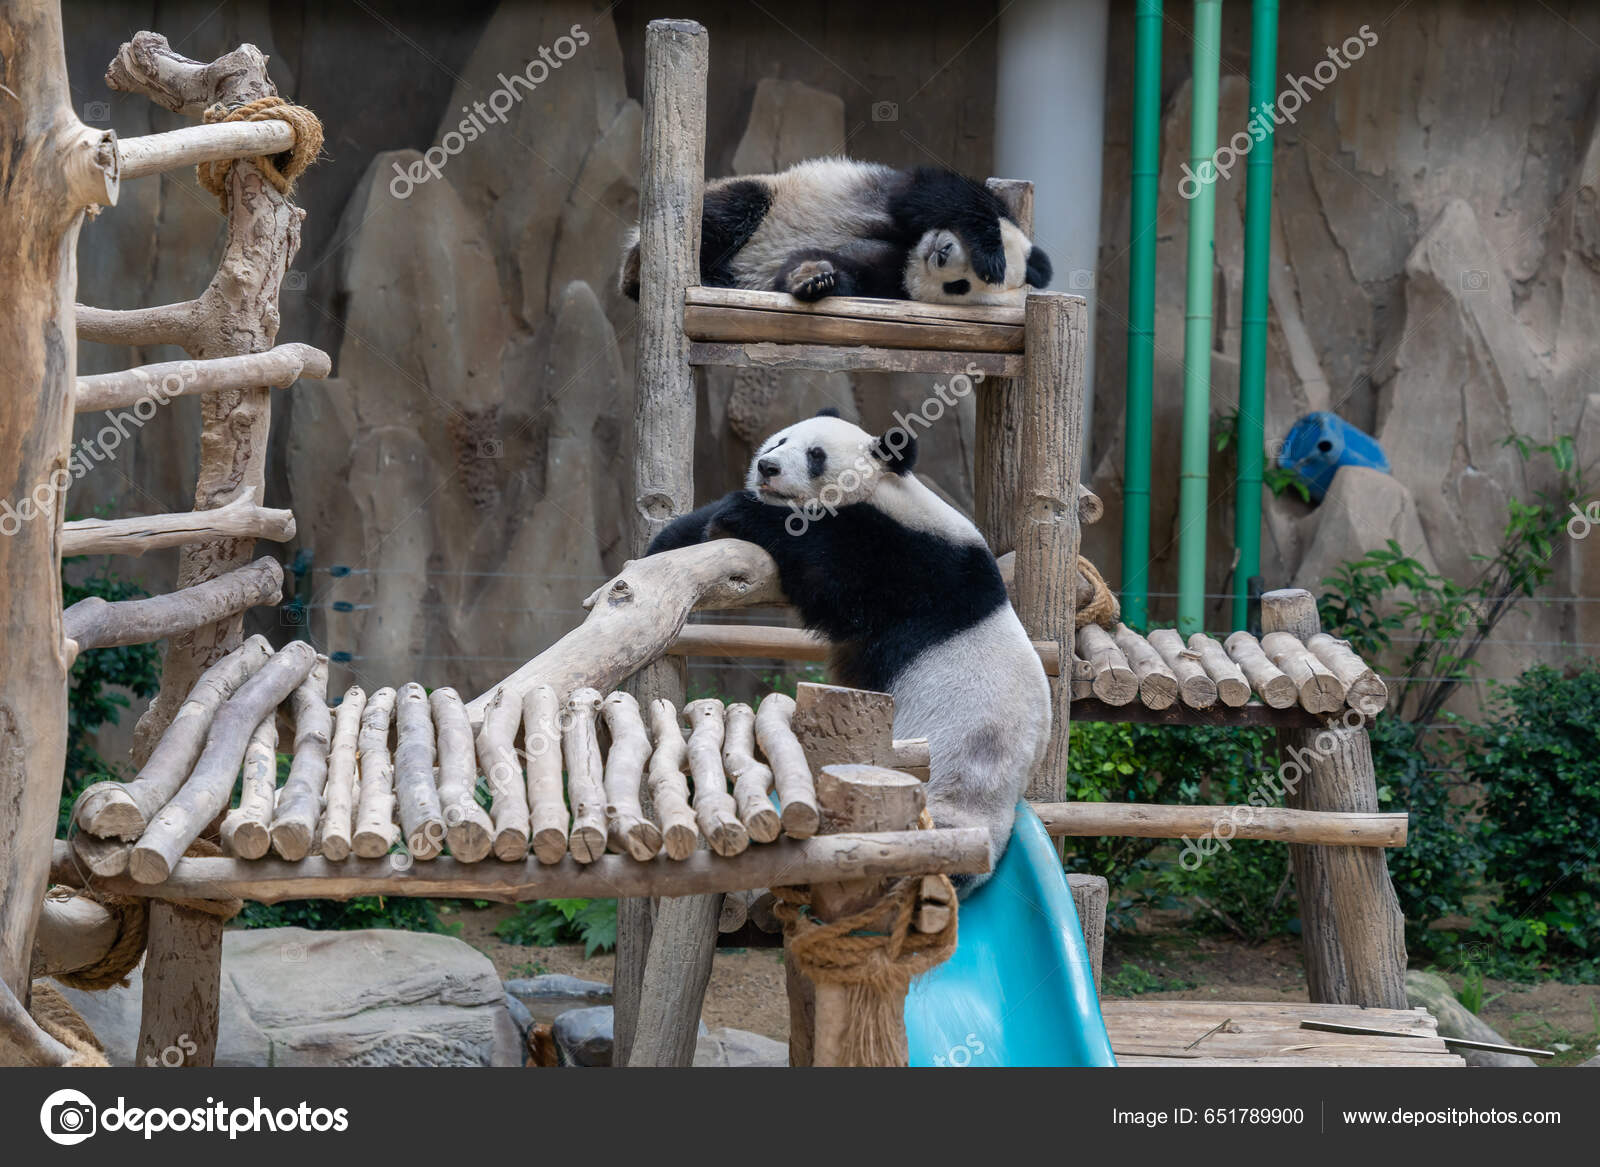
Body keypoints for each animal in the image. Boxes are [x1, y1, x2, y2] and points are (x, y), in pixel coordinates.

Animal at [619, 157, 1052, 307]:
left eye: (958, 286)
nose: (942, 254)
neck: (912, 247)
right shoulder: (891, 195)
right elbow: (929, 193)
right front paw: (992, 253)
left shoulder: (891, 278)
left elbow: (842, 267)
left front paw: (816, 279)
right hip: (762, 193)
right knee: (732, 209)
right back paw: (641, 268)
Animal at [648, 409, 1051, 891]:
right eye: (779, 441)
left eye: (815, 455)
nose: (768, 467)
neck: (884, 490)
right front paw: (672, 541)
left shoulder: (906, 564)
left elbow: (827, 571)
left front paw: (742, 513)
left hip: (957, 772)